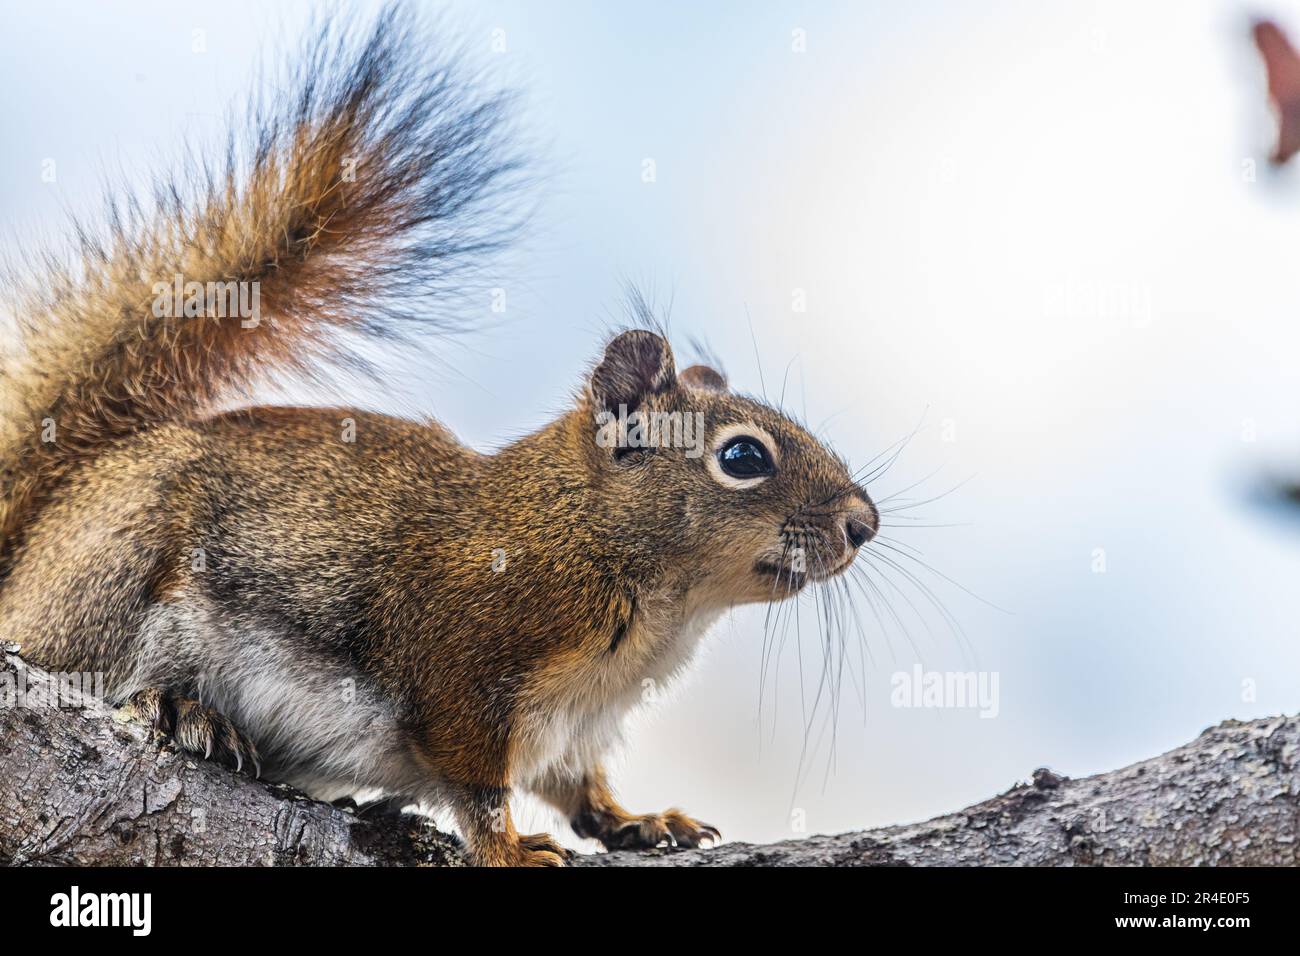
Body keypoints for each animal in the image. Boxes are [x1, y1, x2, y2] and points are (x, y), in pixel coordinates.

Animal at [0, 6, 878, 866]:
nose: (864, 524)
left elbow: (580, 786)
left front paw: (638, 819)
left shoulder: (576, 726)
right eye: (742, 456)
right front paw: (512, 848)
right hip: (115, 572)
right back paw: (178, 706)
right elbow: (476, 783)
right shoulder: (463, 667)